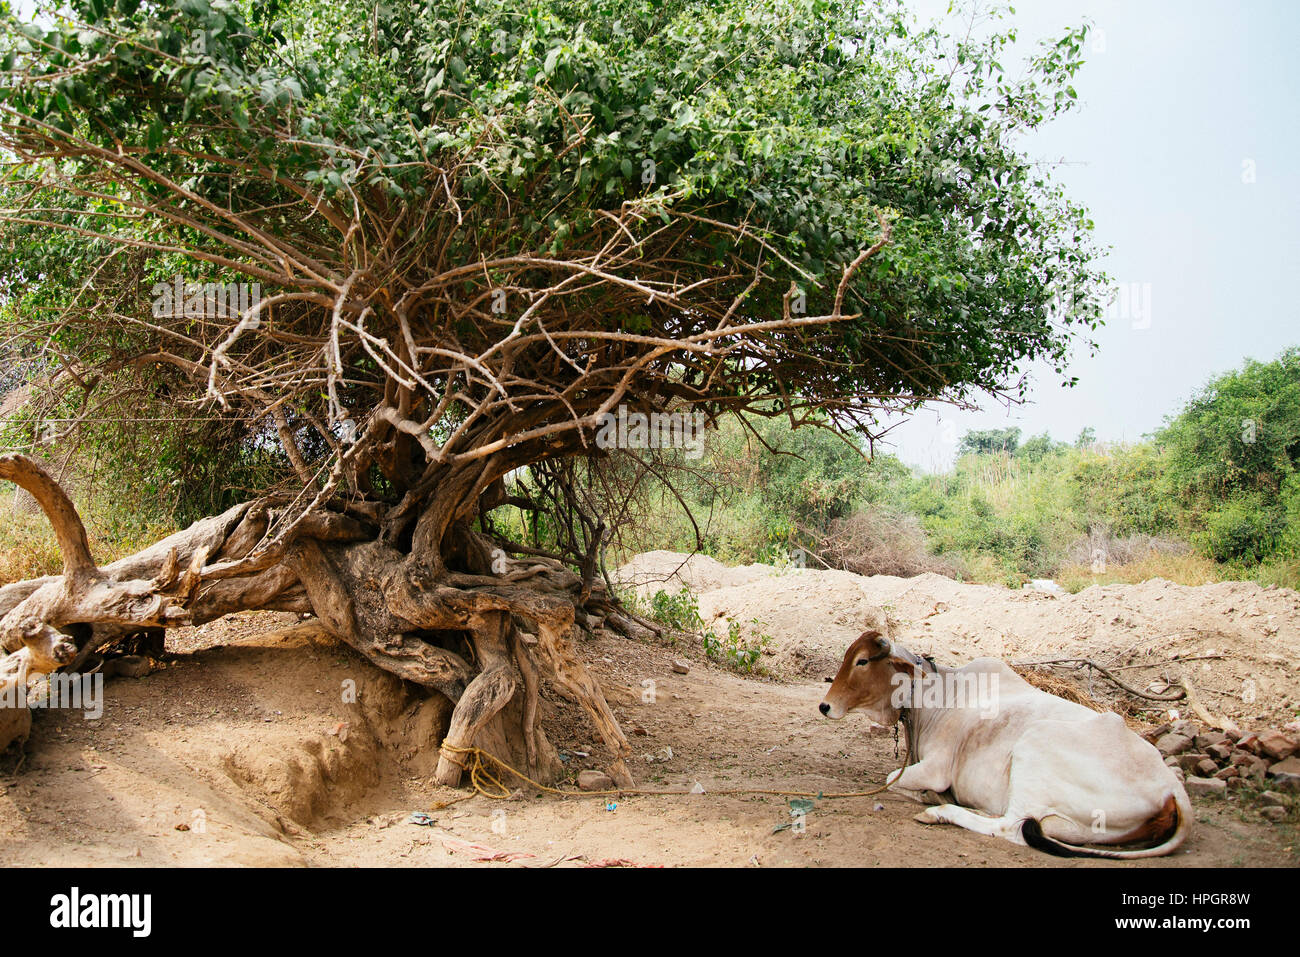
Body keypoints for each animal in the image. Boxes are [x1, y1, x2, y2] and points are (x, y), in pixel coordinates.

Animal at [819, 630, 1192, 858]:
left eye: (862, 661)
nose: (825, 706)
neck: (934, 694)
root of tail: (1174, 789)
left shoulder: (936, 768)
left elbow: (892, 780)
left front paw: (931, 796)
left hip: (1033, 747)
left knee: (1011, 826)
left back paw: (941, 811)